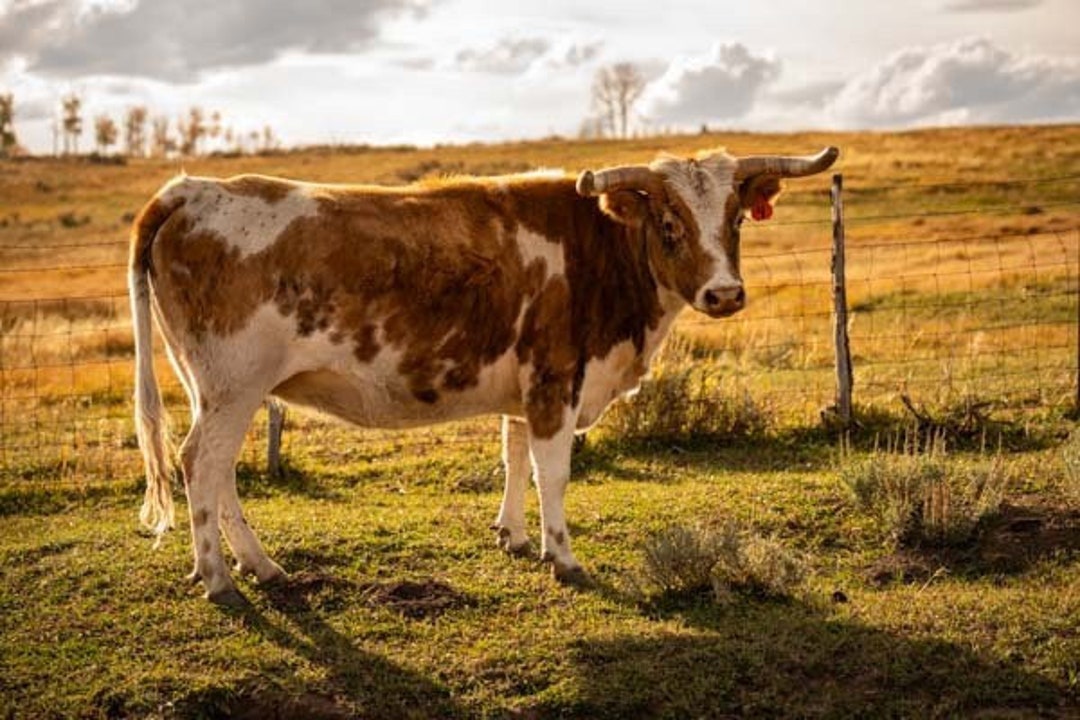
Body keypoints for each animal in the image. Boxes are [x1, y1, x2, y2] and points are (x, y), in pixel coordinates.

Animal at [129, 145, 838, 605]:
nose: (725, 294)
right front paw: (563, 556)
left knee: (219, 473)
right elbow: (553, 471)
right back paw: (219, 578)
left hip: (216, 389)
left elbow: (514, 454)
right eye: (670, 222)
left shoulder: (526, 387)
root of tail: (193, 188)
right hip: (232, 386)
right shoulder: (556, 379)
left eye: (736, 218)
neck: (598, 247)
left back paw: (260, 566)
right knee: (200, 464)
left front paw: (514, 536)